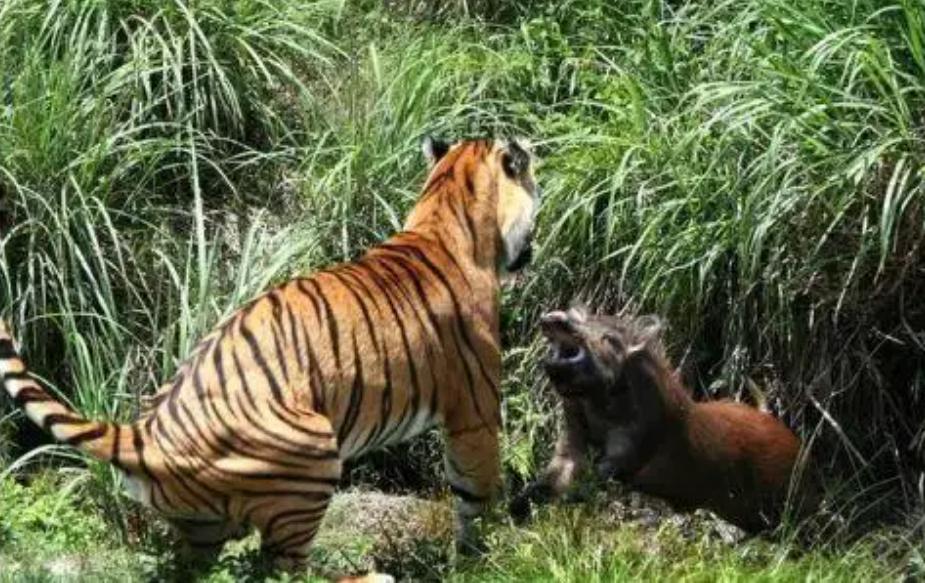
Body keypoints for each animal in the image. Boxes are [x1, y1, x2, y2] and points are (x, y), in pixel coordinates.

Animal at [0, 136, 540, 581]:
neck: (446, 209)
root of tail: (145, 435)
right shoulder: (474, 408)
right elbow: (476, 490)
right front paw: (489, 556)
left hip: (203, 525)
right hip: (314, 455)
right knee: (283, 571)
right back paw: (370, 576)